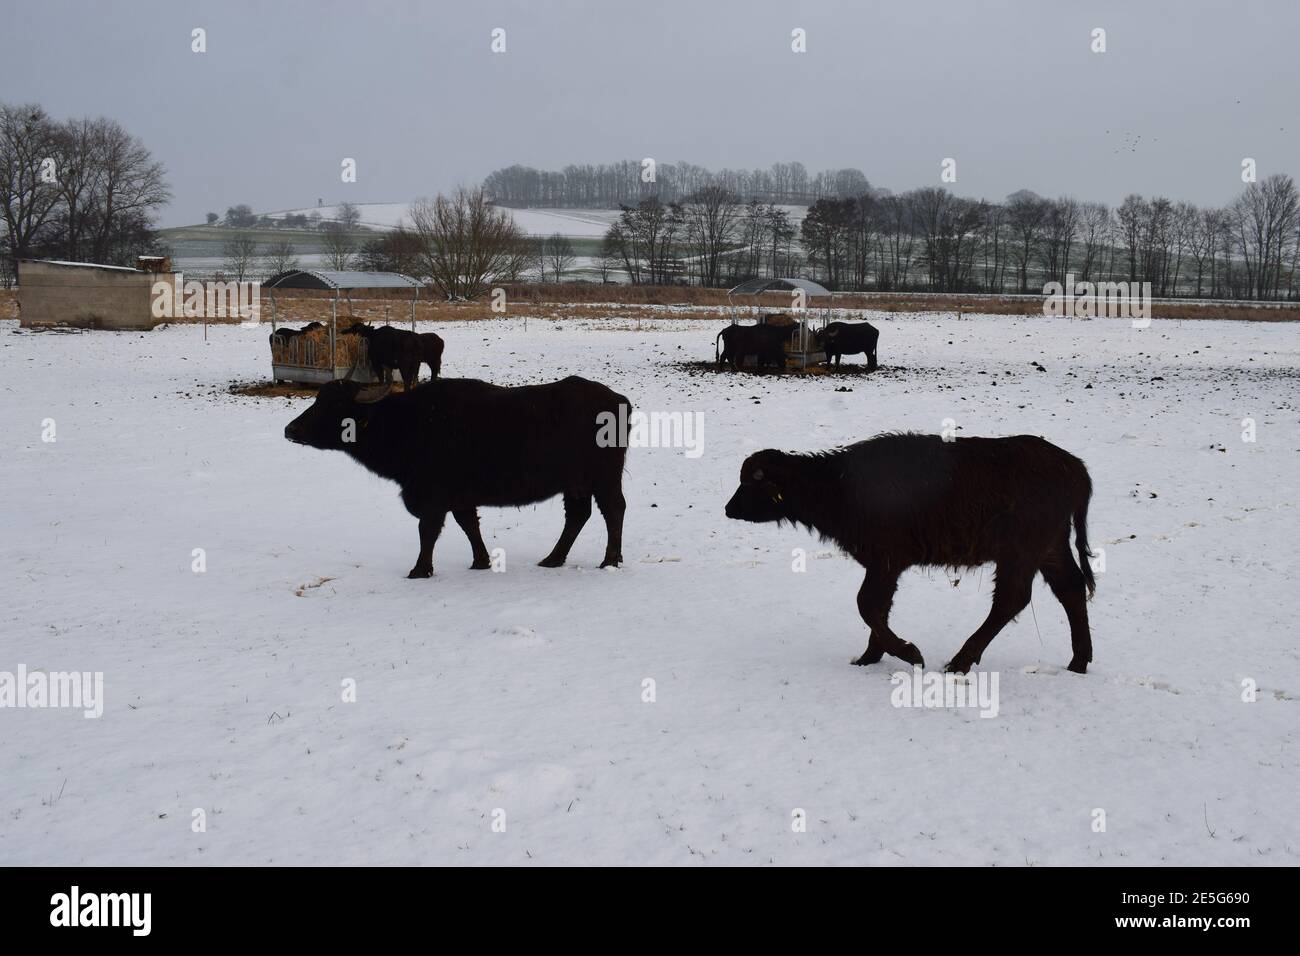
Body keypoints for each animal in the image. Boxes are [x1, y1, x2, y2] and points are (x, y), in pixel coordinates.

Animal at [284, 376, 629, 577]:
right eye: (317, 399)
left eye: (335, 405)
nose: (291, 430)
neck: (408, 422)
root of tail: (618, 400)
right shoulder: (460, 497)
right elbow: (468, 525)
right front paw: (480, 561)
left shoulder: (432, 497)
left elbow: (427, 531)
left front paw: (420, 569)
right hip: (577, 484)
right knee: (578, 516)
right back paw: (553, 559)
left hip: (604, 478)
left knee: (613, 510)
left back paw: (609, 560)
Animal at [725, 433, 1095, 674]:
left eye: (751, 482)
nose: (728, 508)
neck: (839, 485)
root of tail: (1076, 468)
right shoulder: (885, 566)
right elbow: (878, 607)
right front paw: (868, 658)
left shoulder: (885, 561)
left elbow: (867, 605)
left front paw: (909, 652)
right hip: (1050, 549)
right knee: (1072, 588)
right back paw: (1078, 662)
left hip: (1020, 554)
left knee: (1011, 600)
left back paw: (960, 662)